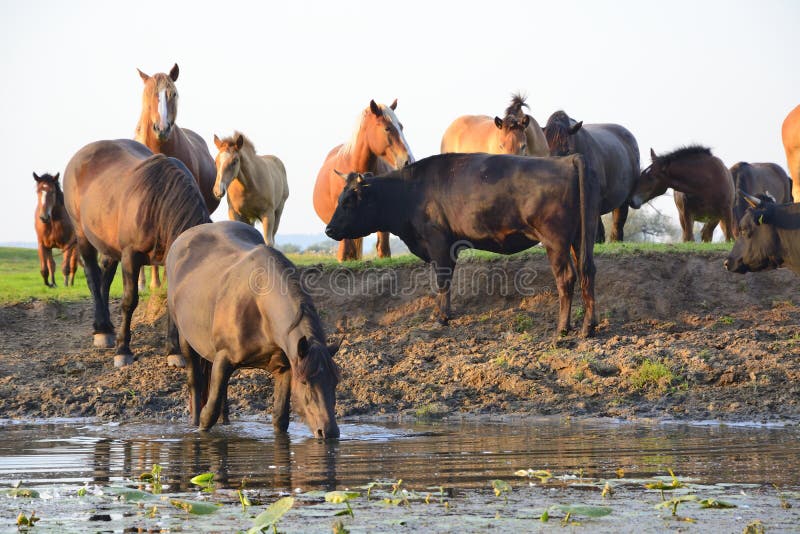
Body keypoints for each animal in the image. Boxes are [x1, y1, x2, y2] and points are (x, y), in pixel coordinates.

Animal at [63, 139, 211, 368]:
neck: (158, 203)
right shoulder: (130, 256)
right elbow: (129, 301)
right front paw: (123, 350)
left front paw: (173, 351)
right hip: (82, 233)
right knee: (93, 276)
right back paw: (101, 329)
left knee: (105, 276)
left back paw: (107, 326)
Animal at [166, 221, 340, 436]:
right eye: (305, 382)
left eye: (335, 381)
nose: (330, 432)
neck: (260, 306)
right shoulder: (224, 357)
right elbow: (209, 414)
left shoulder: (285, 368)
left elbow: (280, 418)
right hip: (186, 340)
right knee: (196, 382)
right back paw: (193, 421)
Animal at [325, 152, 600, 337]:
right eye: (339, 198)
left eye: (348, 201)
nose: (329, 229)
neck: (410, 191)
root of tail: (567, 160)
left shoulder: (438, 241)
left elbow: (442, 281)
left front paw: (442, 318)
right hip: (580, 237)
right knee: (587, 272)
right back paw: (588, 327)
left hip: (555, 240)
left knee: (566, 277)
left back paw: (562, 329)